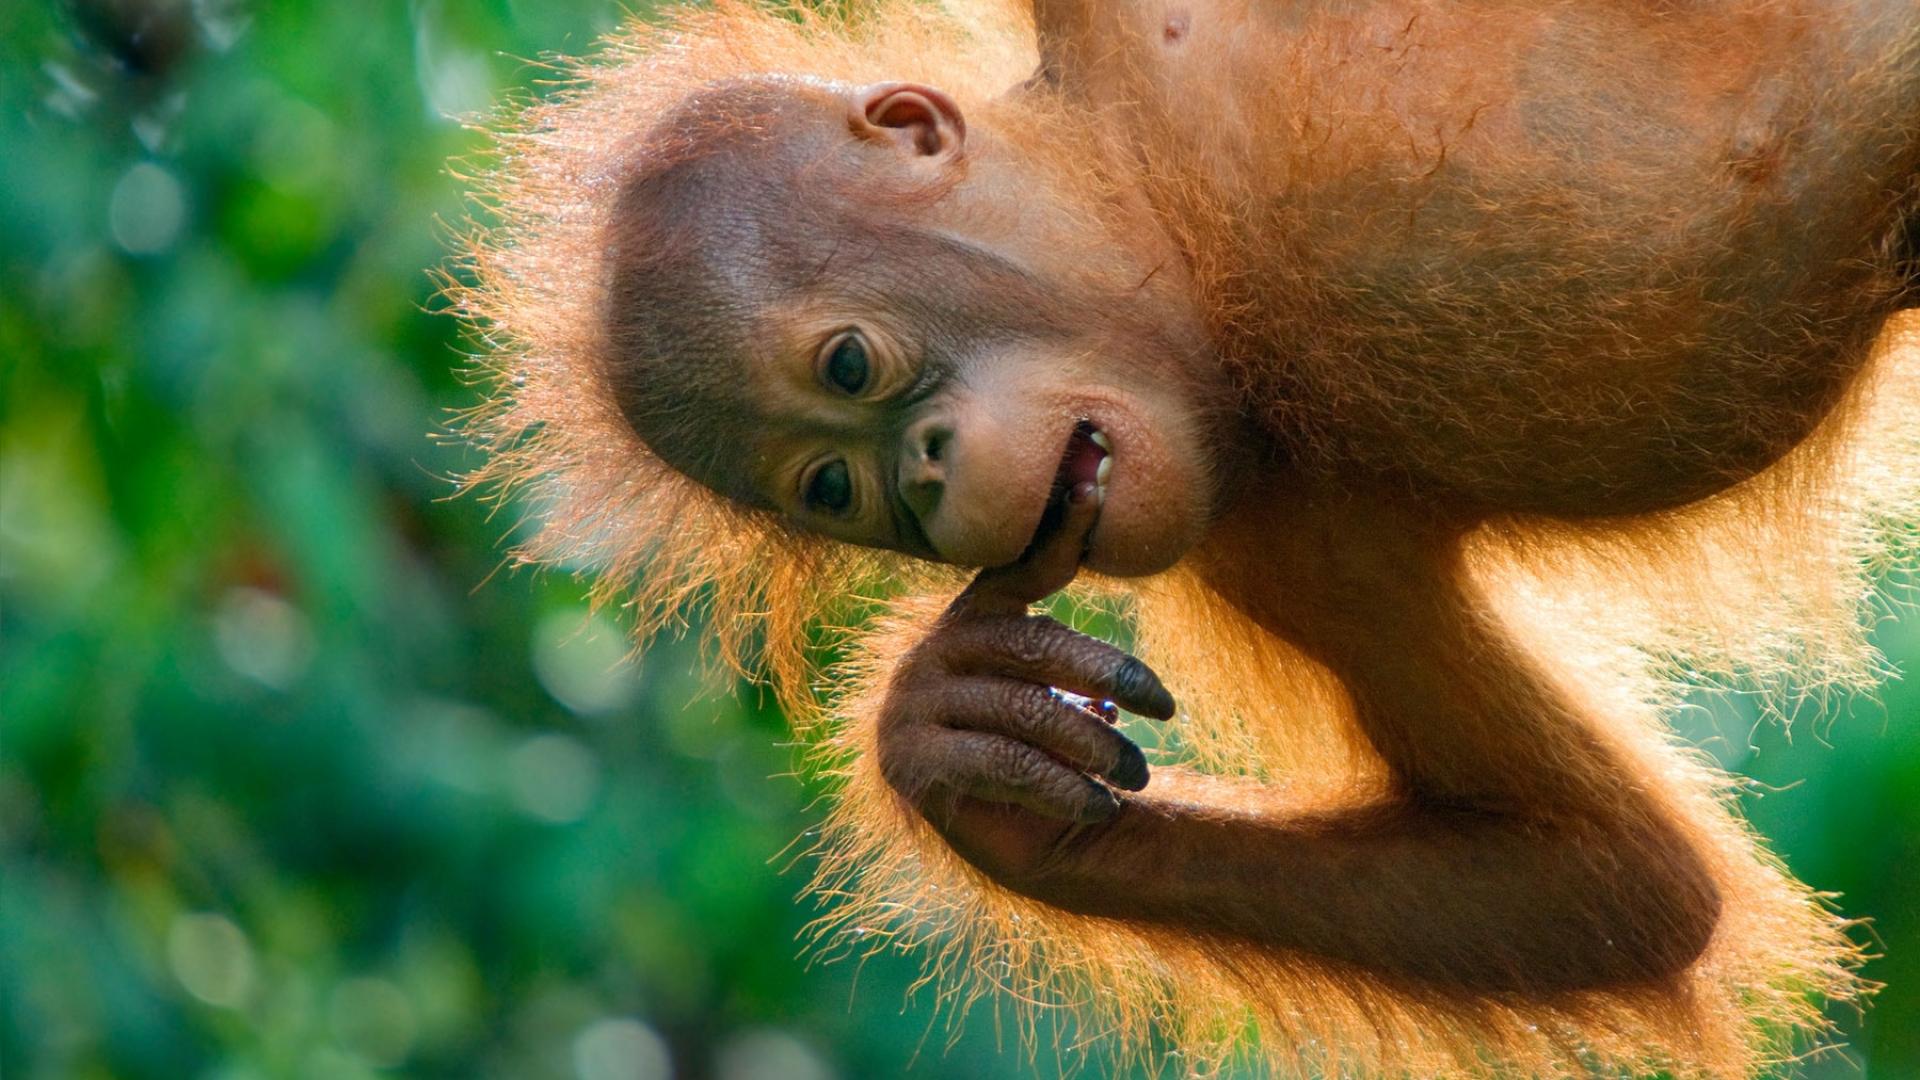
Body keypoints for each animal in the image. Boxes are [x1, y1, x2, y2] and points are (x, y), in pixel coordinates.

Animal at [448, 0, 1920, 1075]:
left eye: (853, 367)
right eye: (832, 491)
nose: (925, 480)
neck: (1202, 259)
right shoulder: (1281, 543)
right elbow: (1605, 877)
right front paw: (965, 754)